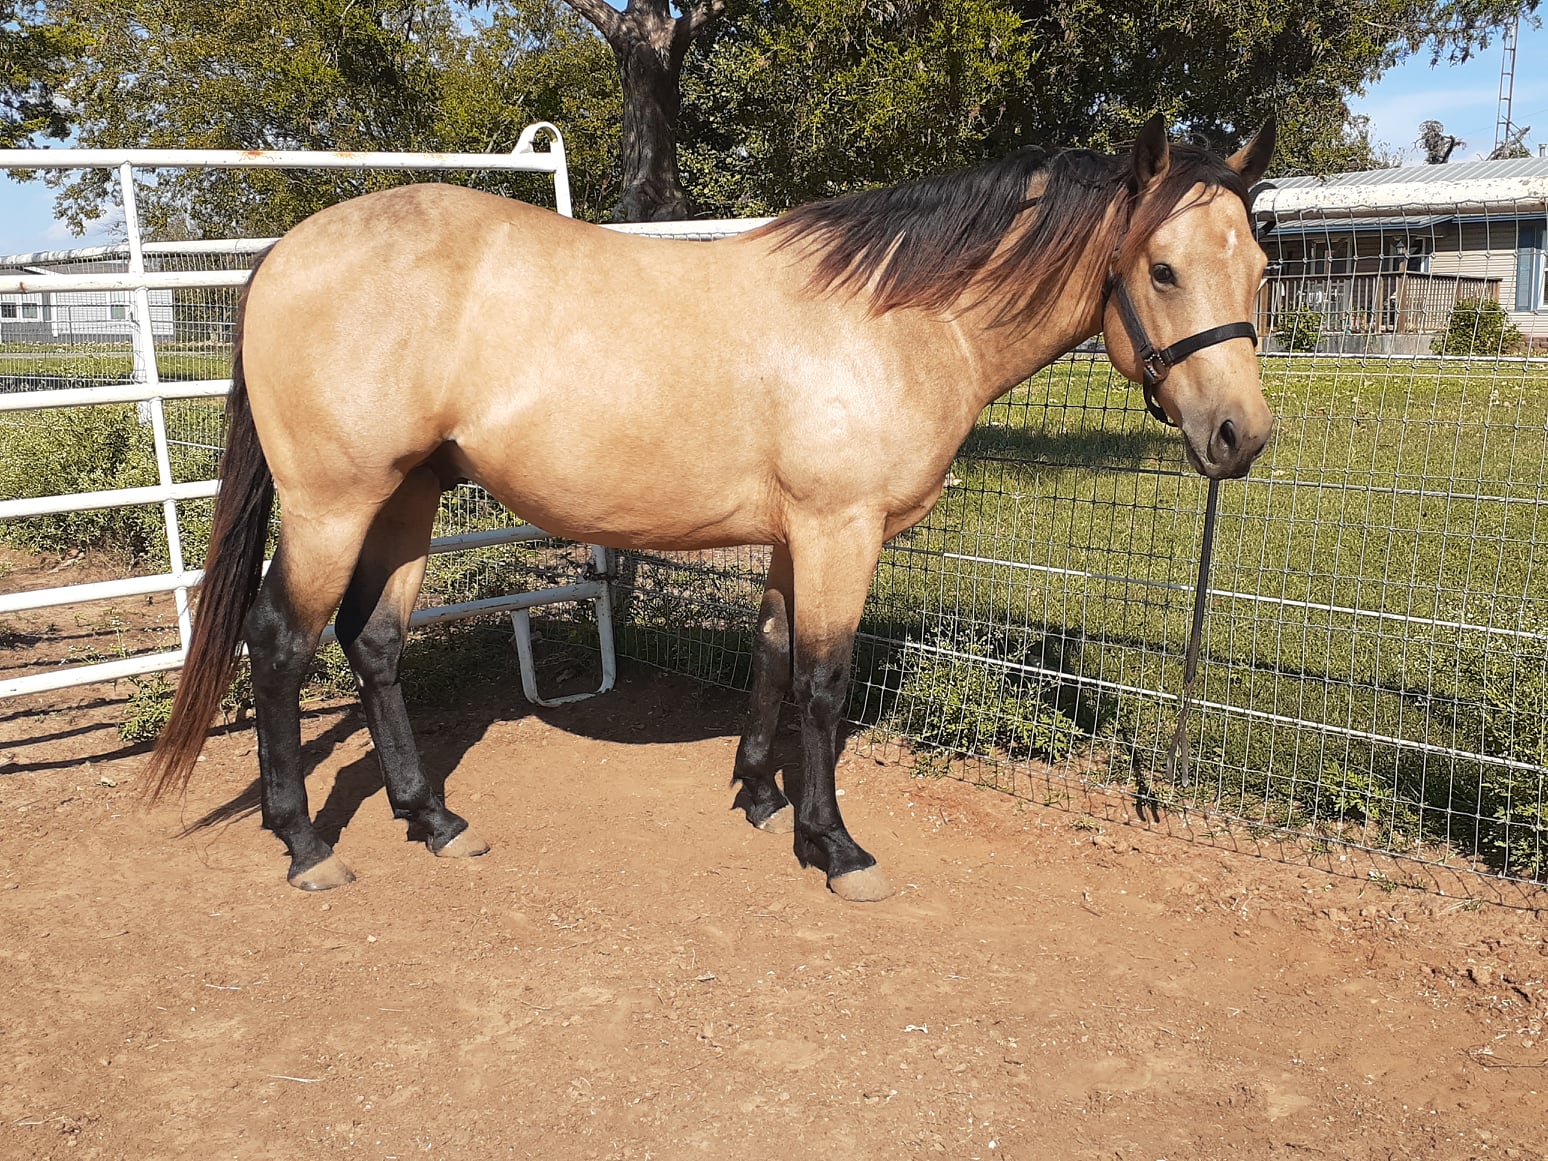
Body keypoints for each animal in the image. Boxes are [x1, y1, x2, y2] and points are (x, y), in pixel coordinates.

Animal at [146, 114, 1276, 901]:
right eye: (1162, 269)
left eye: (1261, 268)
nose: (1241, 435)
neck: (902, 319)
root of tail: (284, 253)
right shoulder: (841, 529)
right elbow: (824, 680)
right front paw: (835, 846)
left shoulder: (795, 534)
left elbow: (774, 654)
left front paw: (762, 797)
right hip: (332, 506)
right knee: (280, 644)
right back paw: (305, 844)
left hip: (407, 498)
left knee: (372, 642)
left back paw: (434, 821)